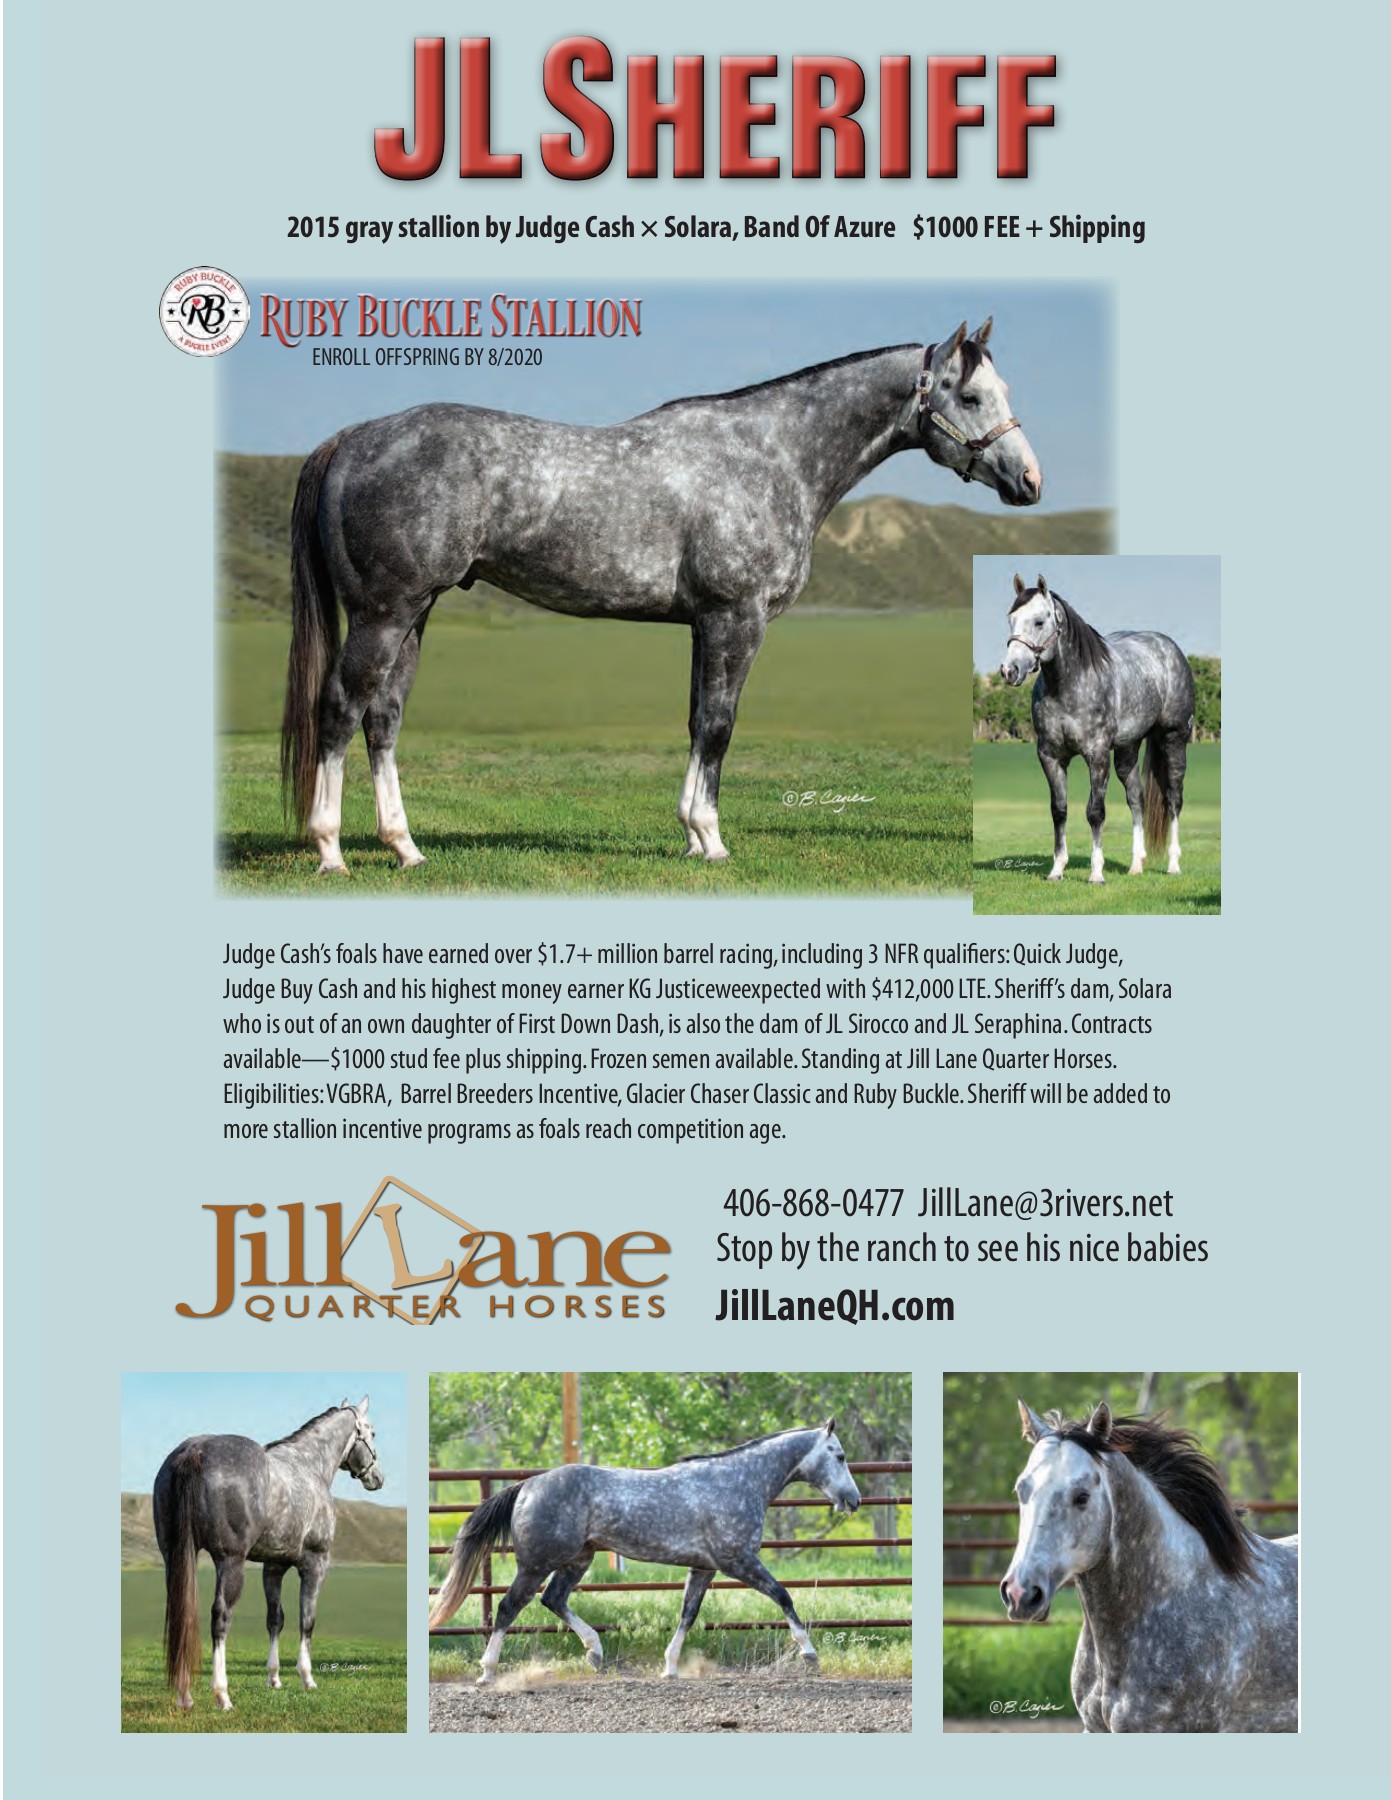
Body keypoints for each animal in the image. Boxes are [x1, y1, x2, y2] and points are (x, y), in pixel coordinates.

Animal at [153, 1397, 384, 1712]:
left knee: (181, 1615)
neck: (309, 1465)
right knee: (220, 1616)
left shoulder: (273, 1566)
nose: (377, 1478)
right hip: (230, 1561)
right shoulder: (315, 1563)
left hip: (174, 1556)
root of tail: (194, 1451)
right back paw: (222, 1694)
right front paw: (307, 1678)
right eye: (371, 1433)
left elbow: (275, 1618)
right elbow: (307, 1618)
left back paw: (184, 1695)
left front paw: (274, 1678)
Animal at [282, 320, 1041, 874]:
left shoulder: (703, 624)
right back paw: (330, 850)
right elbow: (719, 726)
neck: (771, 457)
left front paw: (690, 837)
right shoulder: (737, 619)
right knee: (341, 709)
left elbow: (696, 722)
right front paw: (712, 839)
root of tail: (352, 439)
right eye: (970, 396)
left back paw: (406, 849)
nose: (1029, 481)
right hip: (384, 614)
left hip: (416, 613)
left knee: (383, 719)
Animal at [428, 1420, 862, 1684]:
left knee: (553, 1600)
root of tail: (527, 1487)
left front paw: (670, 1668)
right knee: (508, 1608)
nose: (854, 1500)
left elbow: (688, 1614)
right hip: (536, 1564)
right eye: (839, 1455)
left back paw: (595, 1653)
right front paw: (810, 1654)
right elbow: (783, 1595)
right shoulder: (739, 1561)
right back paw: (488, 1672)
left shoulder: (703, 1569)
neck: (738, 1483)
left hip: (577, 1559)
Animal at [999, 574, 1195, 882]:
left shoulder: (1097, 755)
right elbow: (1059, 810)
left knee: (1174, 798)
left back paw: (1173, 865)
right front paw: (1057, 869)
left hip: (1174, 738)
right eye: (1011, 619)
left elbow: (1095, 812)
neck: (1069, 685)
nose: (1010, 671)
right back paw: (1136, 865)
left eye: (1039, 621)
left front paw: (1096, 873)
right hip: (1127, 749)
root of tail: (1168, 647)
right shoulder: (1050, 756)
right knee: (1136, 798)